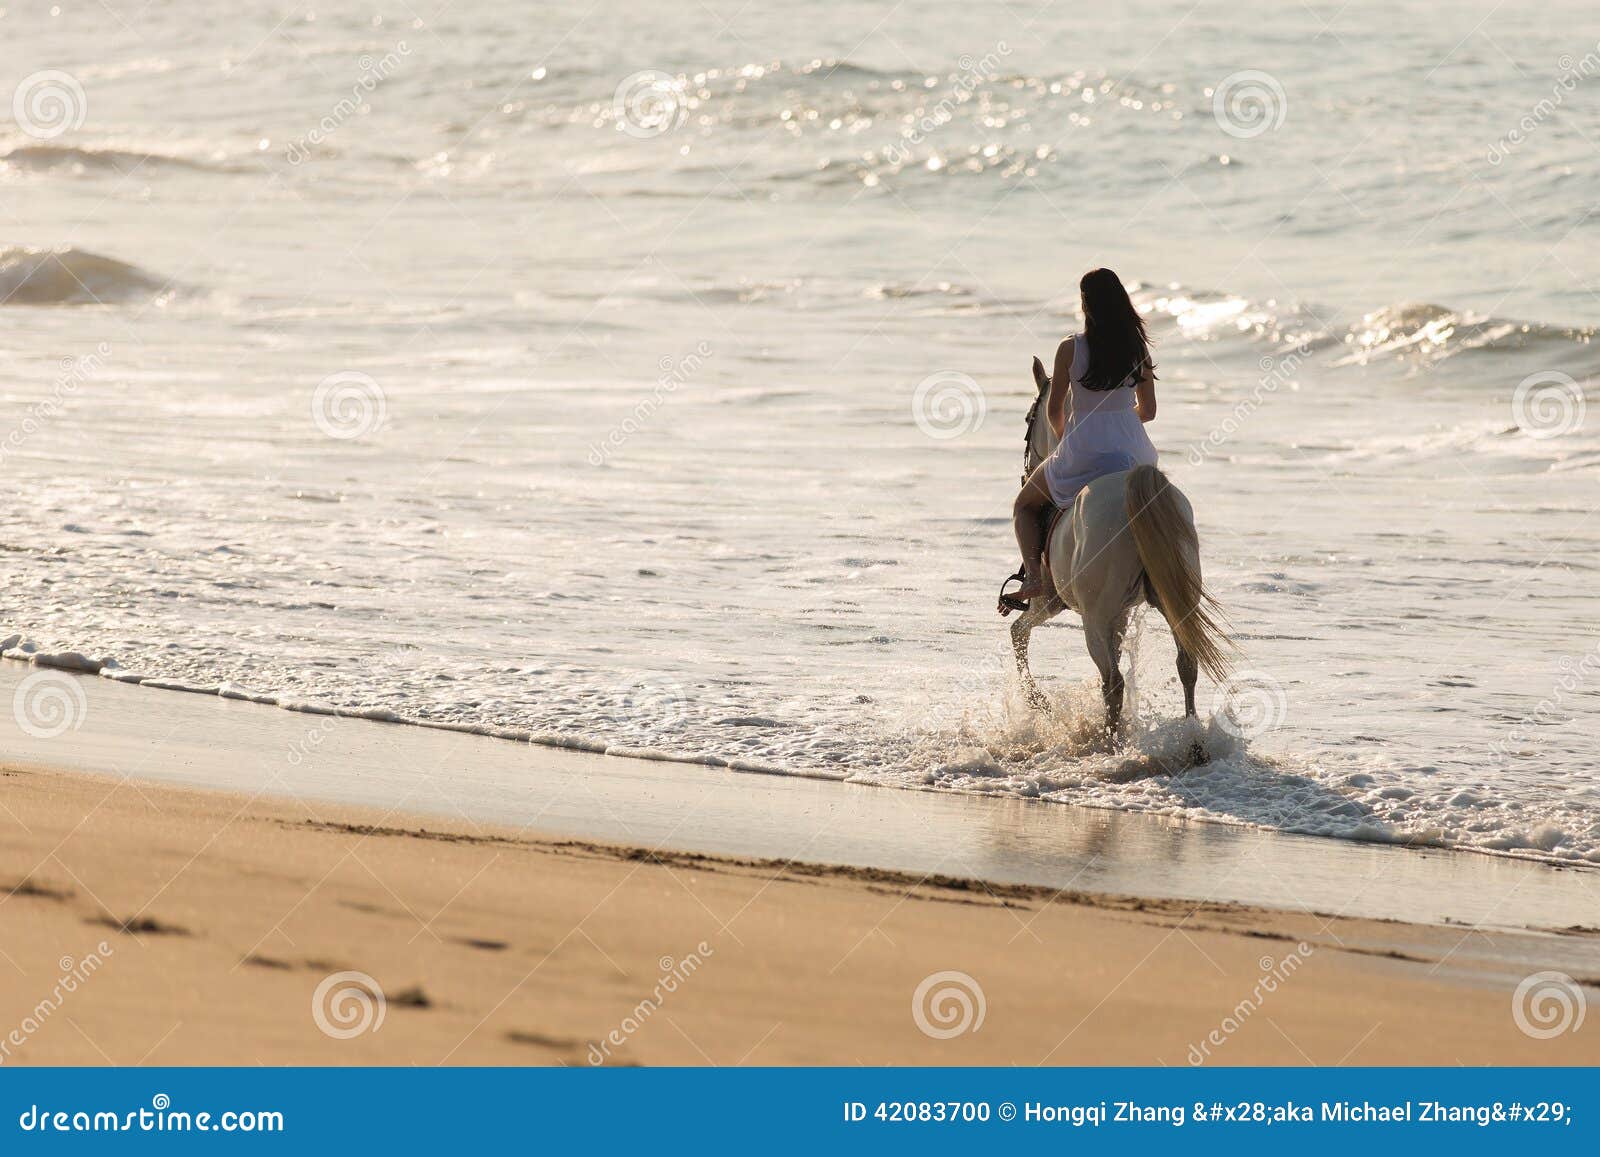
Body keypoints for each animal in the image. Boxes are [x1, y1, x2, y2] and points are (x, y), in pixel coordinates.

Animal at [1006, 356, 1234, 739]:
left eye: (1027, 420)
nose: (1026, 473)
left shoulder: (1048, 603)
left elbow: (1018, 635)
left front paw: (1040, 704)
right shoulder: (1122, 613)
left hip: (1093, 618)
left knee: (1112, 682)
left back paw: (1110, 741)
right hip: (1174, 602)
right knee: (1187, 664)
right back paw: (1191, 738)